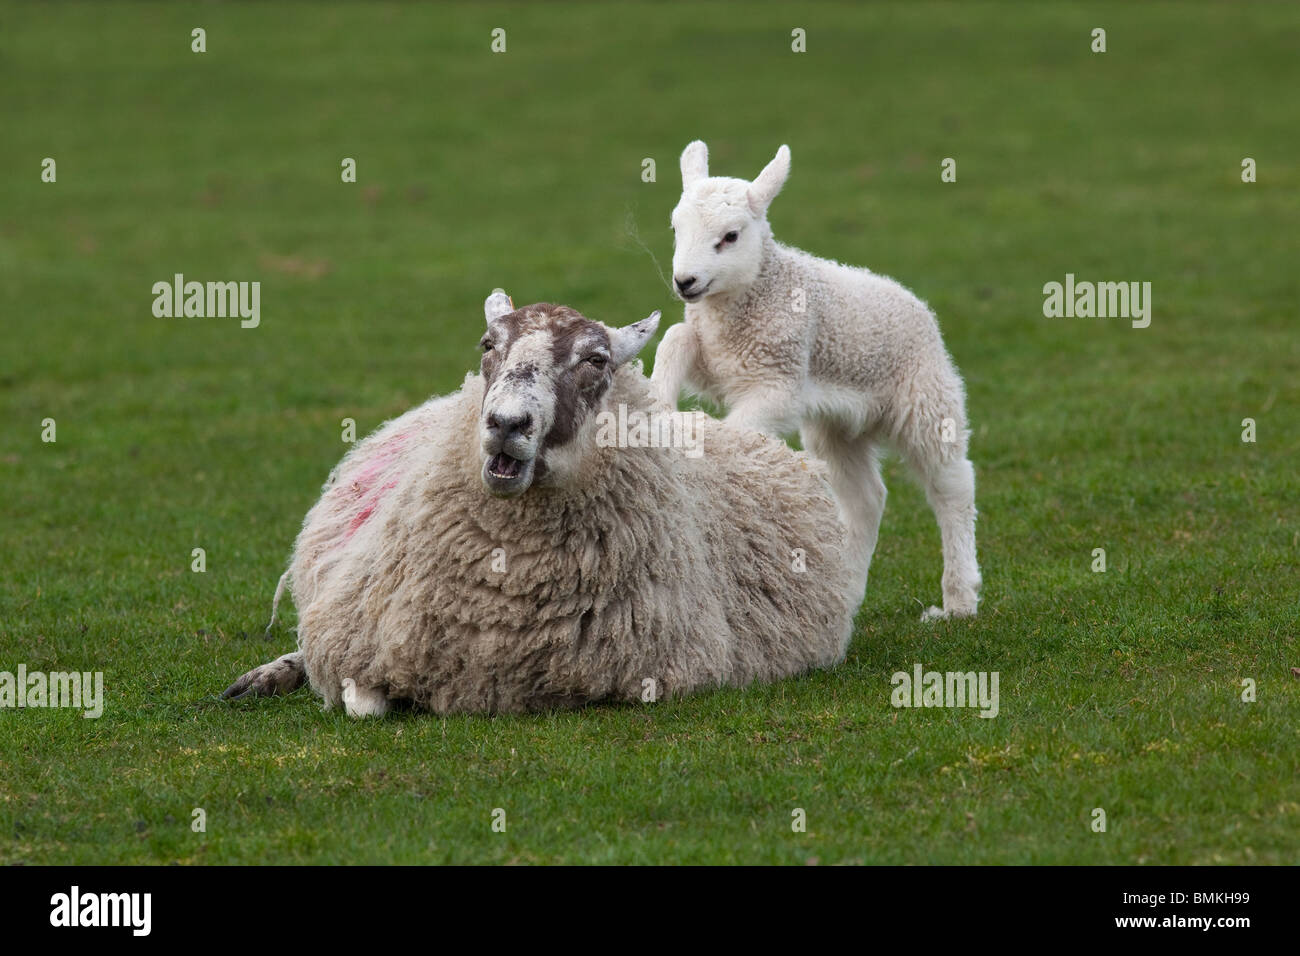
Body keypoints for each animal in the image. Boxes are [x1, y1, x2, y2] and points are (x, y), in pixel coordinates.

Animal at [222, 291, 857, 716]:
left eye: (595, 359)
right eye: (488, 346)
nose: (507, 424)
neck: (504, 589)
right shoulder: (360, 638)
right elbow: (358, 697)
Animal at [649, 141, 981, 621]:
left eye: (730, 236)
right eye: (675, 228)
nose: (685, 282)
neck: (737, 307)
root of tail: (915, 303)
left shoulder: (778, 379)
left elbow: (741, 429)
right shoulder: (712, 358)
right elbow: (674, 338)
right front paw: (656, 404)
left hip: (926, 397)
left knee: (952, 486)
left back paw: (959, 599)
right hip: (837, 425)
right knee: (865, 498)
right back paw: (848, 590)